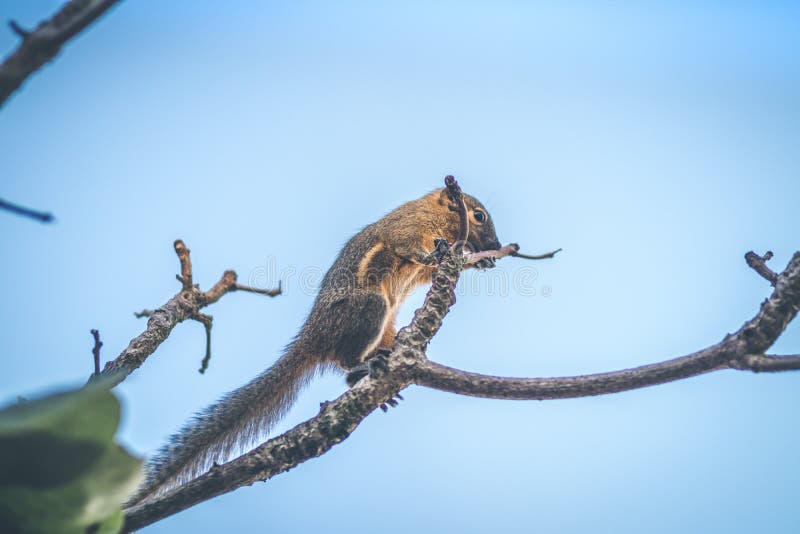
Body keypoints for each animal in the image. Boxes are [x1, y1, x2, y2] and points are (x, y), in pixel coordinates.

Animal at [131, 185, 501, 503]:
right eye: (478, 215)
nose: (496, 245)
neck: (434, 216)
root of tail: (313, 337)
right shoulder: (407, 225)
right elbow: (407, 245)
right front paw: (441, 254)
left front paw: (476, 260)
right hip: (368, 309)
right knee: (345, 359)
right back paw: (367, 366)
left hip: (385, 330)